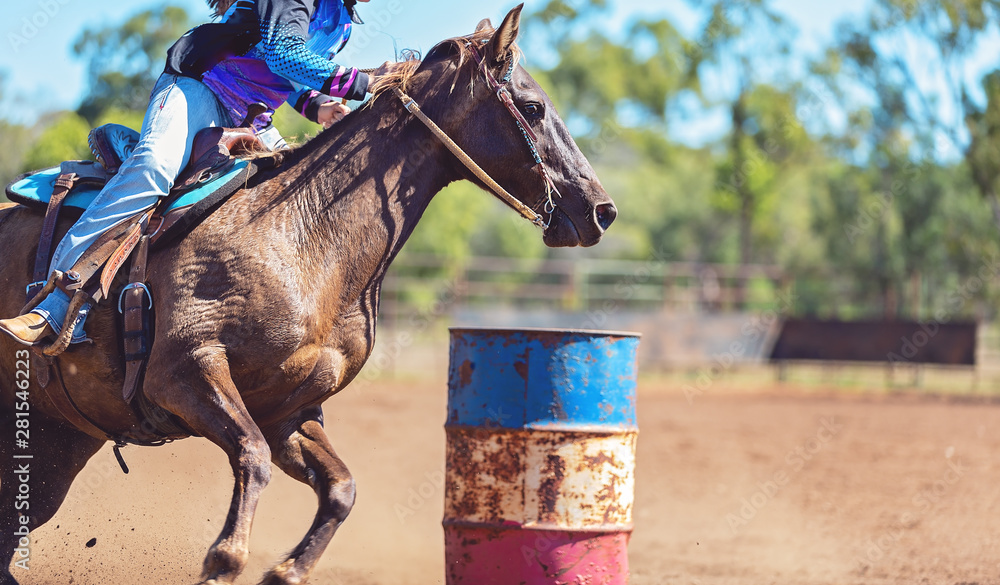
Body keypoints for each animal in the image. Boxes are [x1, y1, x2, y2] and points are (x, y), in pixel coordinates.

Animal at [0, 5, 616, 584]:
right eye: (532, 107)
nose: (601, 210)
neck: (304, 234)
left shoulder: (289, 410)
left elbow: (340, 487)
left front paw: (284, 570)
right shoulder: (184, 373)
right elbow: (251, 458)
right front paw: (224, 560)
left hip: (55, 441)